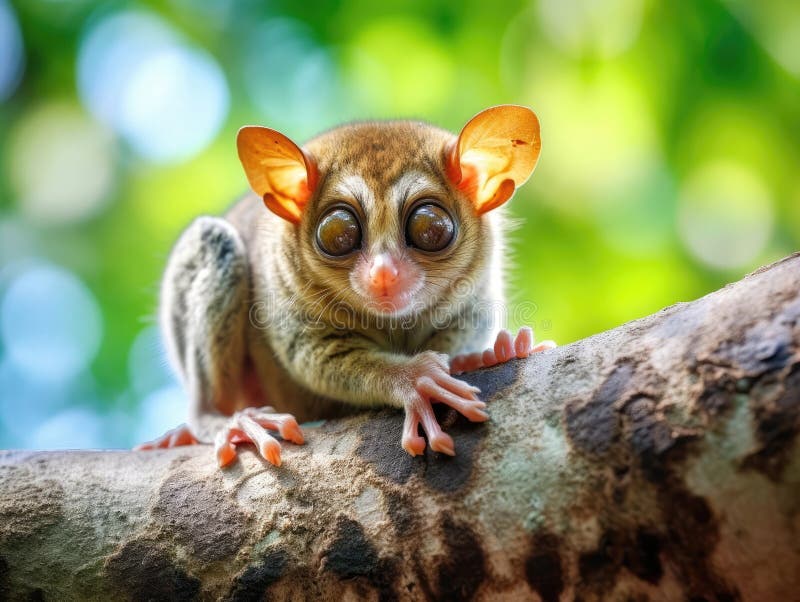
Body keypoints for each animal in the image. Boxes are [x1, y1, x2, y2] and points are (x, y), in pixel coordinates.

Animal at [135, 105, 556, 467]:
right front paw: (416, 380)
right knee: (215, 241)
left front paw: (486, 355)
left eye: (432, 228)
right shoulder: (283, 292)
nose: (384, 274)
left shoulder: (475, 291)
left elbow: (465, 327)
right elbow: (312, 356)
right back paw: (226, 420)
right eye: (338, 233)